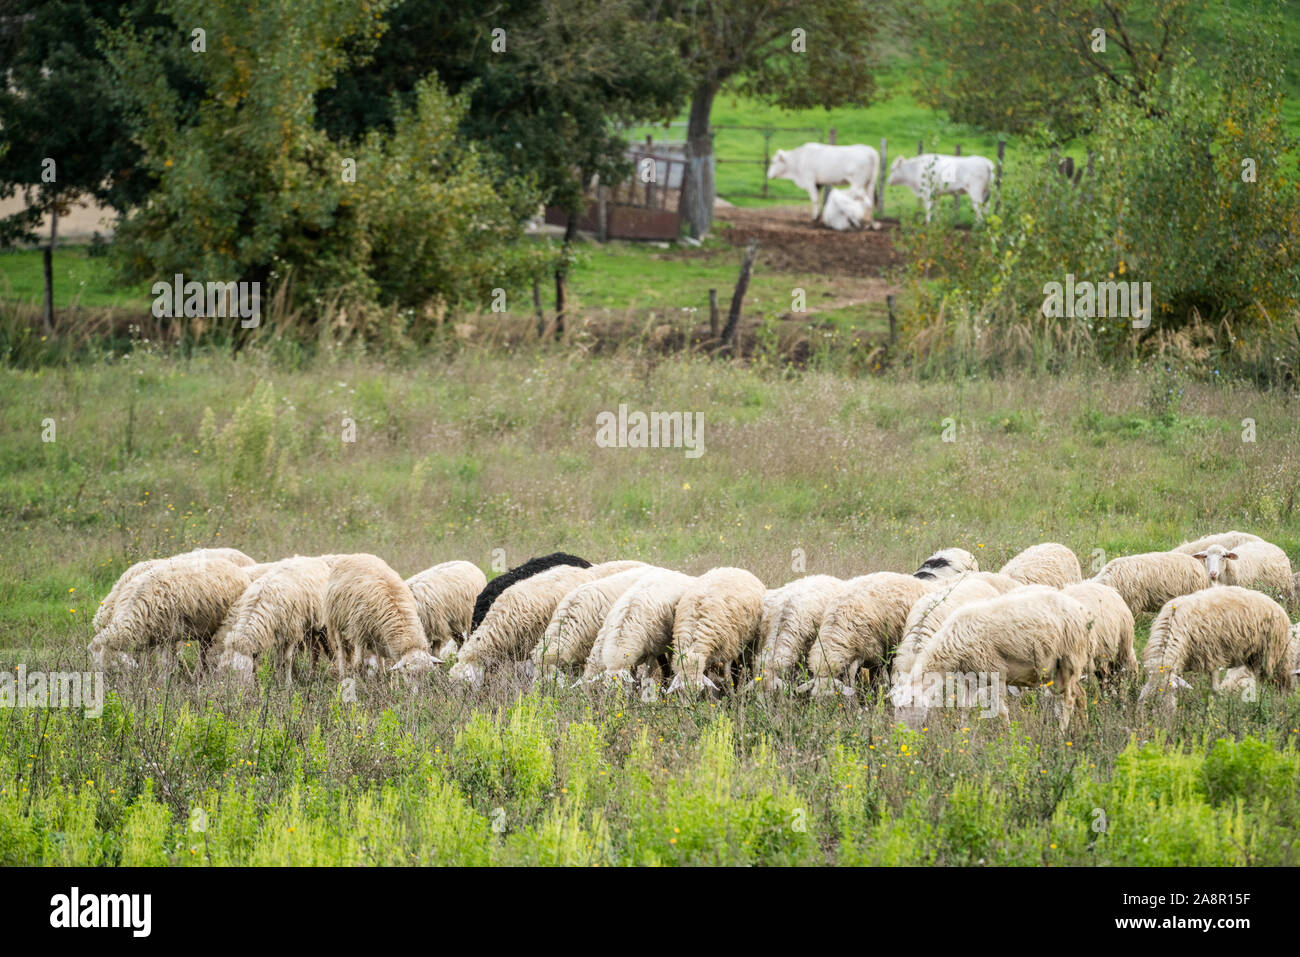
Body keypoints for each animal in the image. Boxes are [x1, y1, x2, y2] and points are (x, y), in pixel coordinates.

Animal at [88, 556, 252, 670]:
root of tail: (231, 566)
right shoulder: (151, 638)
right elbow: (148, 662)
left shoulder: (168, 636)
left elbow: (165, 665)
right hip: (205, 632)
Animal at [890, 585, 1092, 731]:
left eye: (904, 706)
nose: (901, 736)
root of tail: (1081, 610)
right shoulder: (970, 680)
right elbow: (965, 709)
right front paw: (962, 736)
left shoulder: (997, 674)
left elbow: (1001, 711)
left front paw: (1009, 735)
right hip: (1055, 671)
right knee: (1081, 694)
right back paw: (1085, 729)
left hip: (1069, 659)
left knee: (1069, 699)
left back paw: (1061, 733)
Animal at [1139, 586, 1293, 701]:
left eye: (1170, 692)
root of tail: (1275, 603)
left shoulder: (1212, 655)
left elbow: (1213, 688)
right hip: (1254, 658)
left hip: (1275, 654)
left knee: (1282, 681)